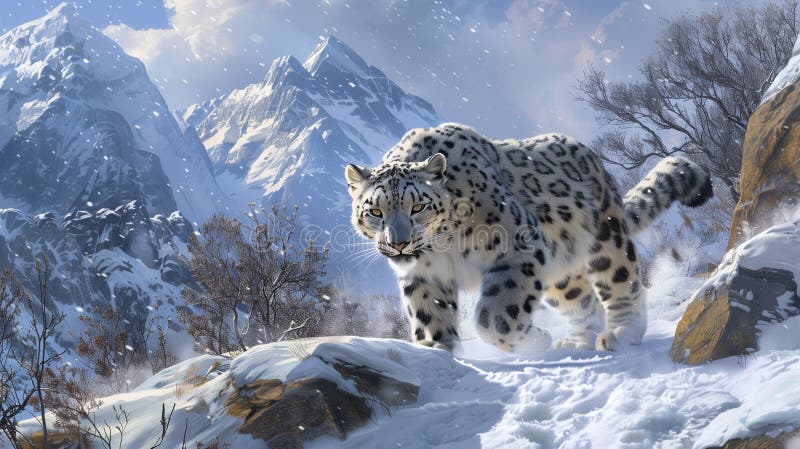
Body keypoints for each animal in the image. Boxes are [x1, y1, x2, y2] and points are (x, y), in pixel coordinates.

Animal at [345, 123, 712, 353]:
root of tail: (597, 162)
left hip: (604, 236)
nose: (399, 243)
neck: (441, 249)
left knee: (621, 279)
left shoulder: (517, 243)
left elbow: (495, 315)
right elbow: (428, 314)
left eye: (418, 206)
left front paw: (534, 340)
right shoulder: (423, 275)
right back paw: (578, 340)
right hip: (560, 276)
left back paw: (622, 330)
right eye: (375, 211)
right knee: (583, 300)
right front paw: (435, 348)